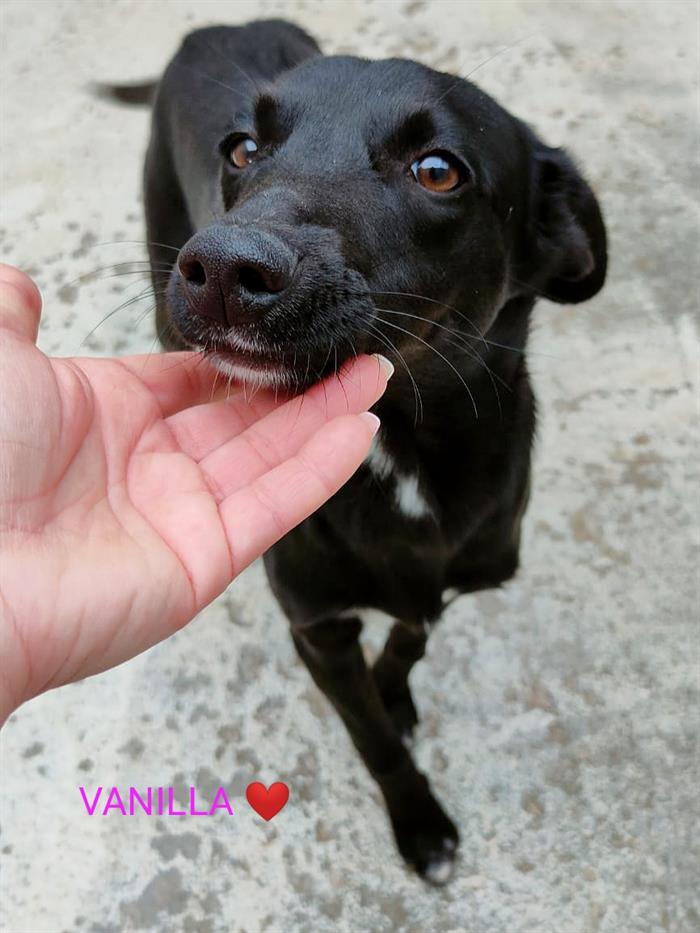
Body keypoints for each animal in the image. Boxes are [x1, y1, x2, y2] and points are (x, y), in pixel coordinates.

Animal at [112, 20, 604, 880]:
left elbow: (412, 634)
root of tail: (217, 27)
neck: (402, 447)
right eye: (242, 148)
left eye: (438, 170)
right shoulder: (320, 628)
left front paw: (397, 690)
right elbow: (372, 737)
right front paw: (420, 821)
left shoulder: (454, 578)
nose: (224, 268)